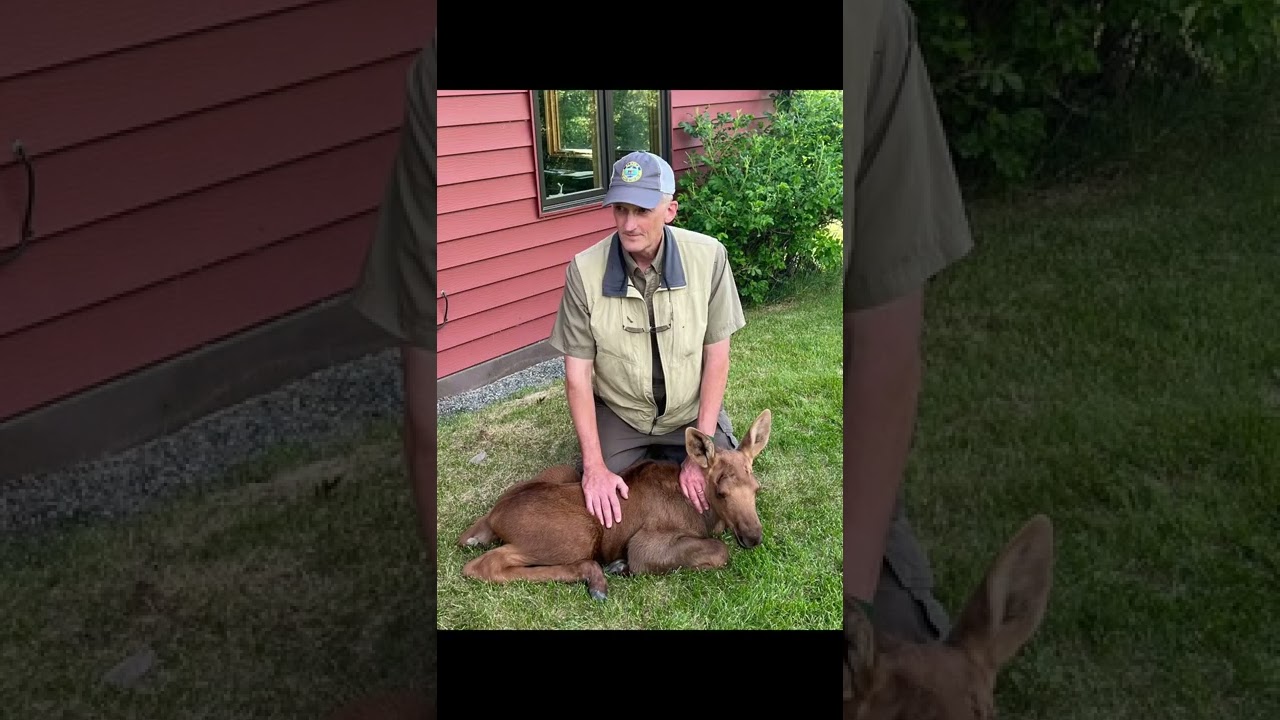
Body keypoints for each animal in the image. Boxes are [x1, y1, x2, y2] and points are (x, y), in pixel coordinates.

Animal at [456, 409, 773, 601]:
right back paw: (597, 576)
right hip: (577, 536)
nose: (753, 536)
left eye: (756, 488)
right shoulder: (643, 546)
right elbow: (720, 551)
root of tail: (496, 516)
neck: (704, 514)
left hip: (562, 473)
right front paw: (624, 567)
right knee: (483, 565)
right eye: (721, 493)